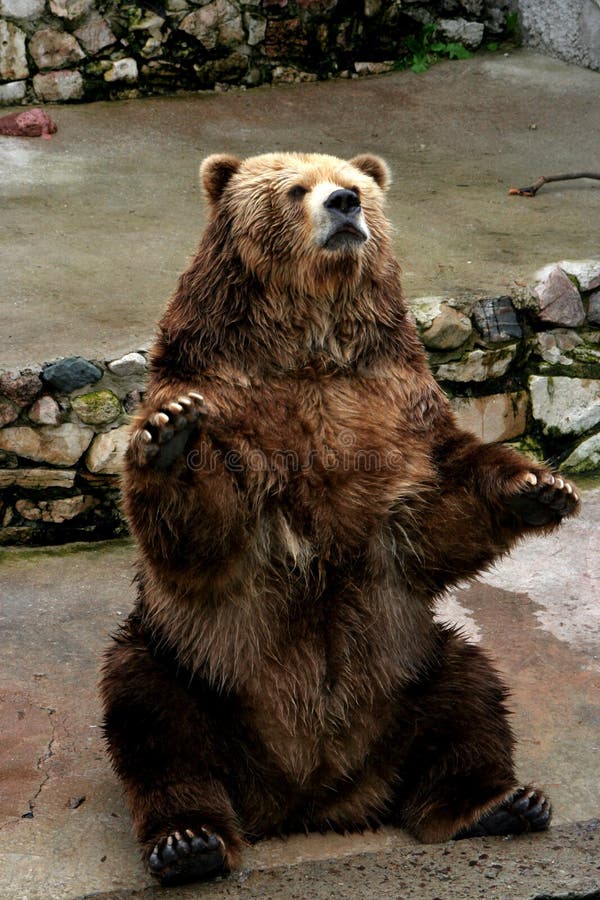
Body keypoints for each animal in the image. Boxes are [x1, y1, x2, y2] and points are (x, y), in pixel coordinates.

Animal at [100, 151, 580, 887]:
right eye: (296, 188)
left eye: (355, 185)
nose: (345, 204)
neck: (308, 343)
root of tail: (314, 795)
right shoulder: (233, 404)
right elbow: (200, 538)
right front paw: (173, 433)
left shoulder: (392, 410)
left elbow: (435, 519)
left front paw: (540, 485)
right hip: (198, 665)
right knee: (153, 719)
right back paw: (189, 841)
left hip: (406, 666)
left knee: (469, 694)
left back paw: (497, 803)